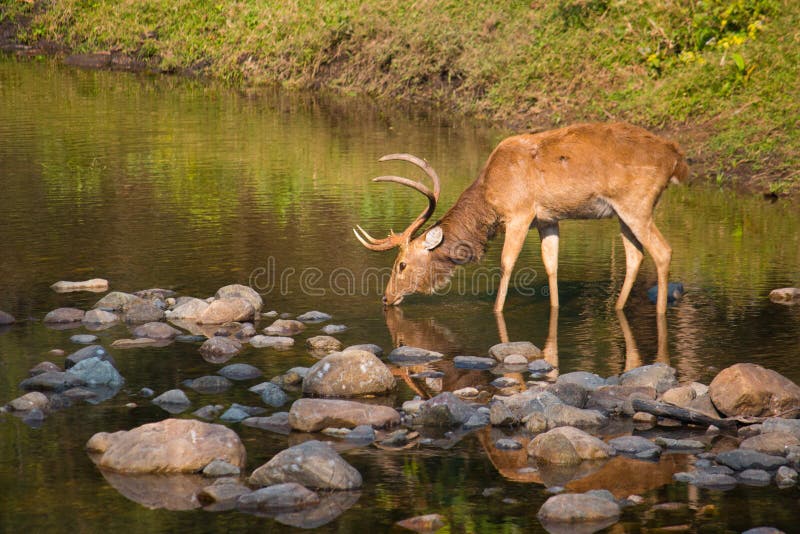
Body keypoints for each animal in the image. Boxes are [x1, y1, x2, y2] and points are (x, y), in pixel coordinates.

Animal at [354, 122, 688, 314]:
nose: (386, 298)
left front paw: (497, 311)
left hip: (637, 203)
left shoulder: (519, 213)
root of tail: (676, 159)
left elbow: (506, 263)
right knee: (635, 255)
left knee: (663, 251)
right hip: (621, 212)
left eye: (401, 264)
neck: (490, 197)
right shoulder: (547, 218)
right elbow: (551, 264)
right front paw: (555, 308)